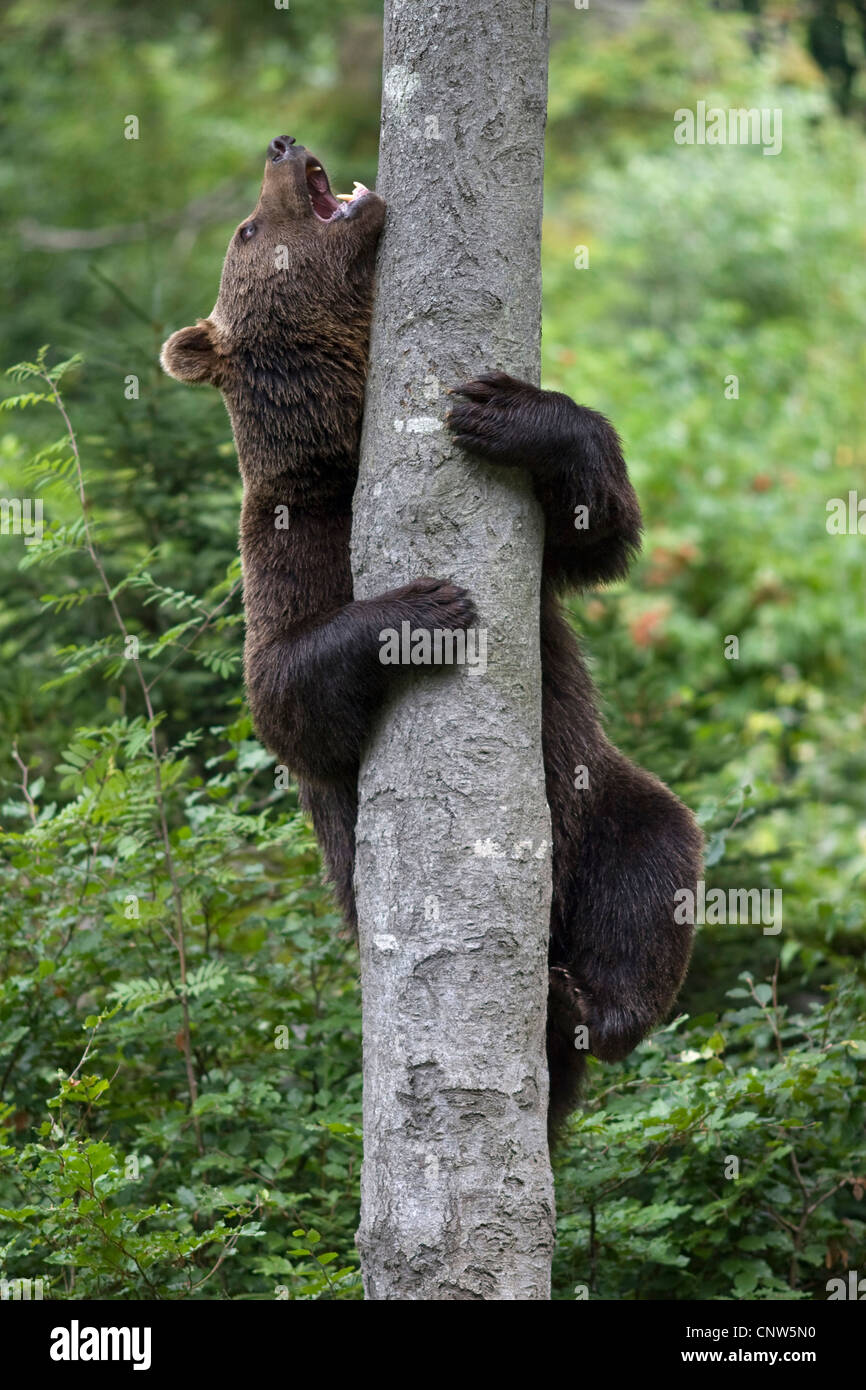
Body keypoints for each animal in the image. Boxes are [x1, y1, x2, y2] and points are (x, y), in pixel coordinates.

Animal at [161, 134, 703, 1139]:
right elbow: (286, 696)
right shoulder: (290, 539)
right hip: (364, 884)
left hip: (599, 802)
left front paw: (514, 411)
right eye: (249, 230)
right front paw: (423, 609)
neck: (342, 444)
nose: (283, 145)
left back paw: (586, 1004)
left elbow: (597, 530)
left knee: (653, 871)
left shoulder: (544, 564)